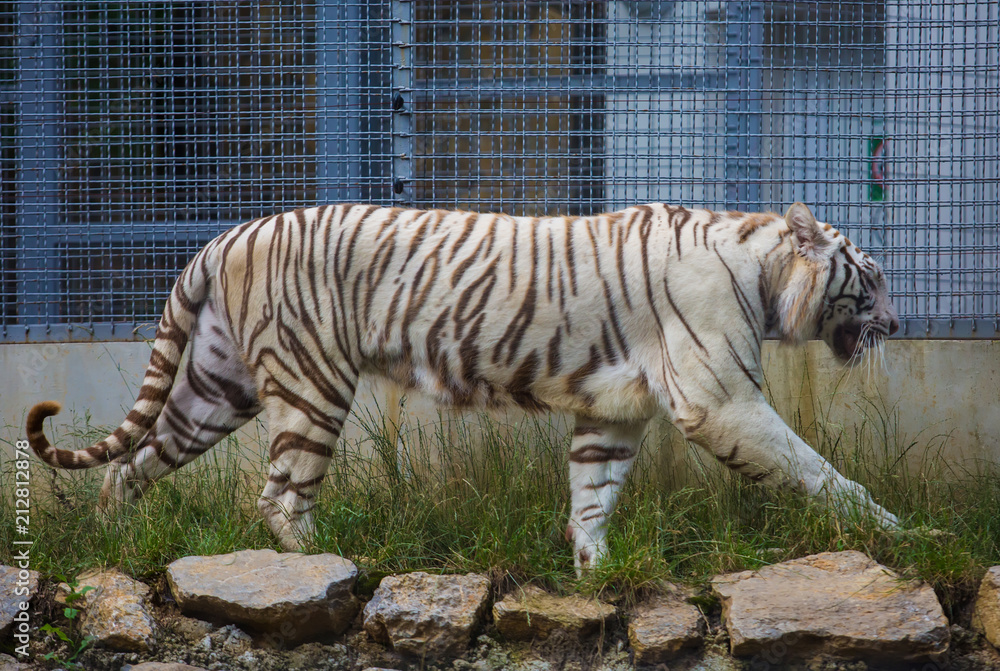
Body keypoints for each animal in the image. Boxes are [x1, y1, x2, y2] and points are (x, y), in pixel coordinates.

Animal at [26, 201, 901, 572]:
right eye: (873, 278)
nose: (896, 324)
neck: (764, 270)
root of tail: (227, 234)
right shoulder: (720, 400)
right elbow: (819, 469)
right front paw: (897, 530)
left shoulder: (611, 411)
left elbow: (593, 493)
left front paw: (595, 570)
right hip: (313, 383)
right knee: (280, 495)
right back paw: (337, 563)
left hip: (218, 385)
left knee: (135, 462)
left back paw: (112, 536)